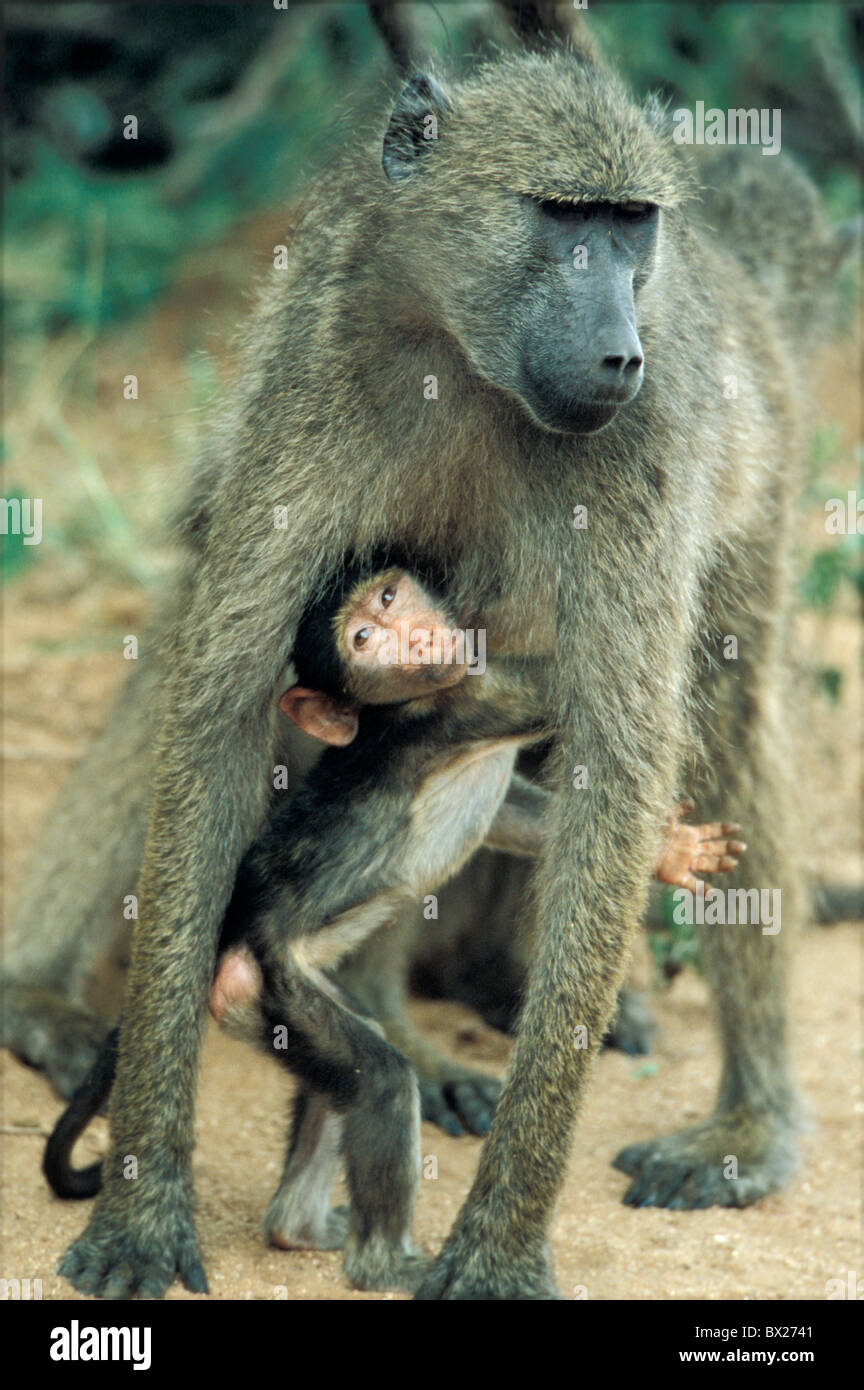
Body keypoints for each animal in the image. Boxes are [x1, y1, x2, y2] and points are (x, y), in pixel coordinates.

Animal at [4, 2, 849, 1298]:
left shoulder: (649, 445)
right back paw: (52, 996)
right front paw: (143, 1205)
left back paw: (743, 1122)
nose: (623, 352)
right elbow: (224, 697)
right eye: (563, 221)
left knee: (719, 692)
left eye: (630, 227)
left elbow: (623, 756)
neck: (461, 353)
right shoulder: (318, 368)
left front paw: (498, 1242)